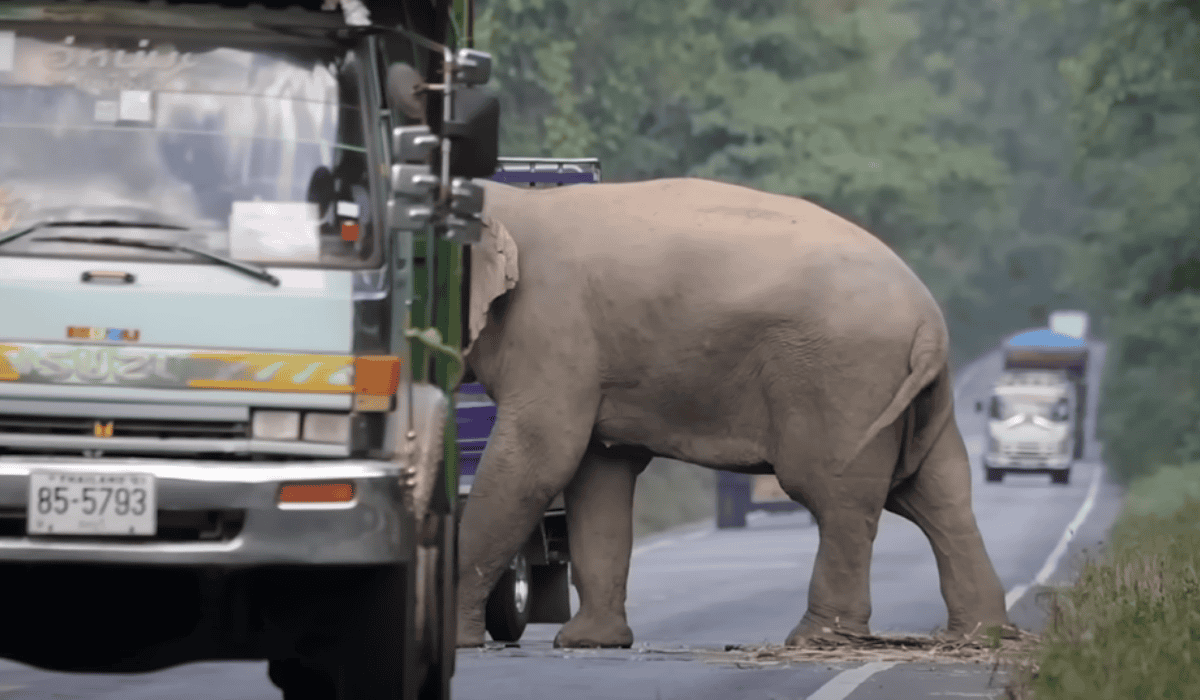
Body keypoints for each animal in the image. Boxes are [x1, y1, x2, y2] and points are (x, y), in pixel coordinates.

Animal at [455, 176, 1013, 649]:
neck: (514, 202)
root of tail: (929, 319)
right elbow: (598, 470)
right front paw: (588, 643)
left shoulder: (552, 324)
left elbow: (541, 455)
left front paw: (461, 644)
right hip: (910, 397)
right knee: (938, 494)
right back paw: (980, 636)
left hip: (843, 378)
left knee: (838, 495)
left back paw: (816, 640)